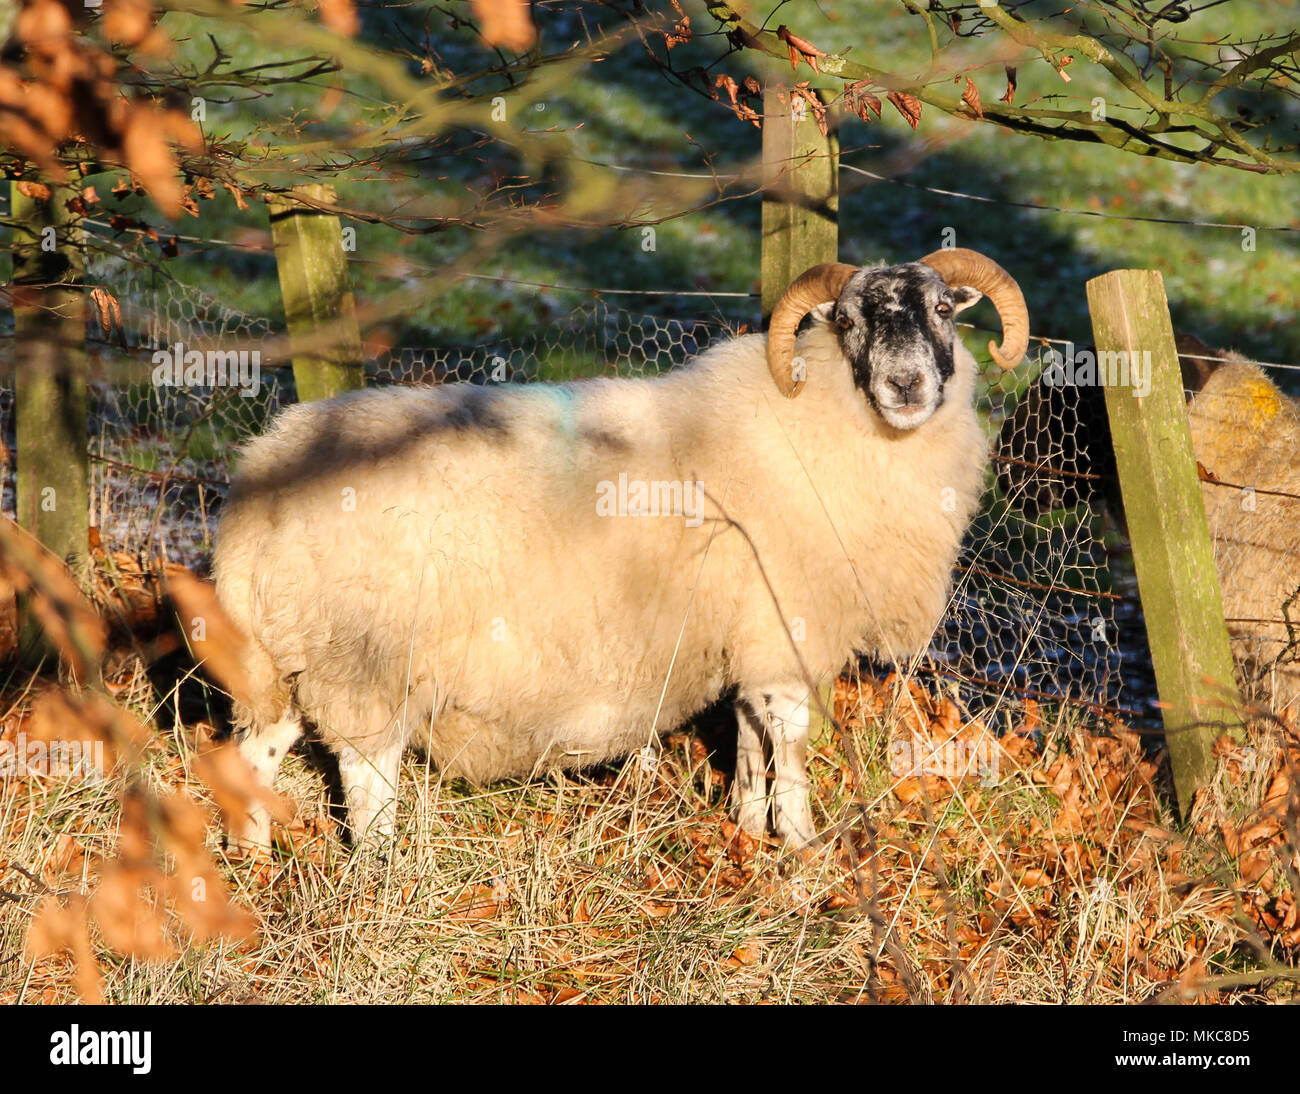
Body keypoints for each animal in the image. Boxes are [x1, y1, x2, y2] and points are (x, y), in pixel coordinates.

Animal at [213, 248, 1029, 851]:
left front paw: (747, 828)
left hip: (290, 660)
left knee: (254, 758)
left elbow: (750, 738)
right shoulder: (784, 630)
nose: (906, 384)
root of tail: (259, 481)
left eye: (943, 310)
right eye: (854, 318)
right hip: (366, 660)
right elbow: (791, 747)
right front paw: (802, 848)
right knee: (367, 779)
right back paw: (385, 875)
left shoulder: (748, 635)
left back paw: (253, 867)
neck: (820, 420)